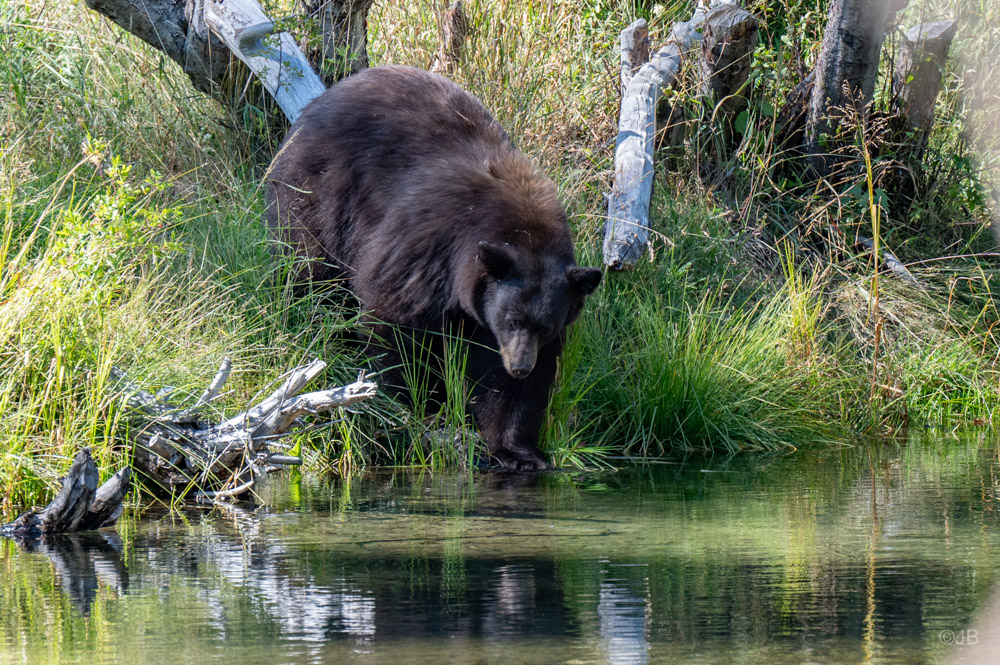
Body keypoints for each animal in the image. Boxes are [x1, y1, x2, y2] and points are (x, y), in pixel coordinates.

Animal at [265, 65, 602, 470]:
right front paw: (416, 402)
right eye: (513, 319)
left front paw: (518, 450)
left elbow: (515, 385)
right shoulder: (428, 251)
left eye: (544, 325)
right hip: (318, 195)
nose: (520, 364)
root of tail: (315, 105)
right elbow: (395, 324)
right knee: (311, 273)